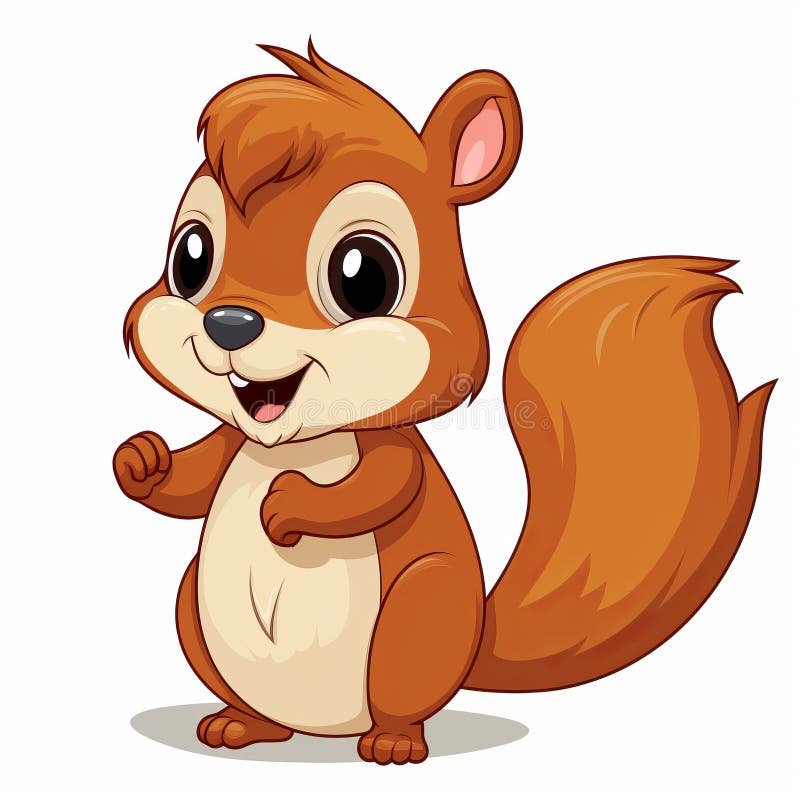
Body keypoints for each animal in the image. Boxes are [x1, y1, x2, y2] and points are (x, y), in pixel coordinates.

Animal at [114, 42, 774, 765]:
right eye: (190, 258)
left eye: (364, 275)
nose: (229, 323)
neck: (298, 442)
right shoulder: (236, 442)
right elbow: (194, 484)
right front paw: (141, 461)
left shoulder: (391, 449)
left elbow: (380, 489)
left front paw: (288, 505)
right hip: (195, 606)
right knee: (251, 699)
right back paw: (240, 724)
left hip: (419, 610)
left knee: (403, 696)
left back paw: (393, 742)